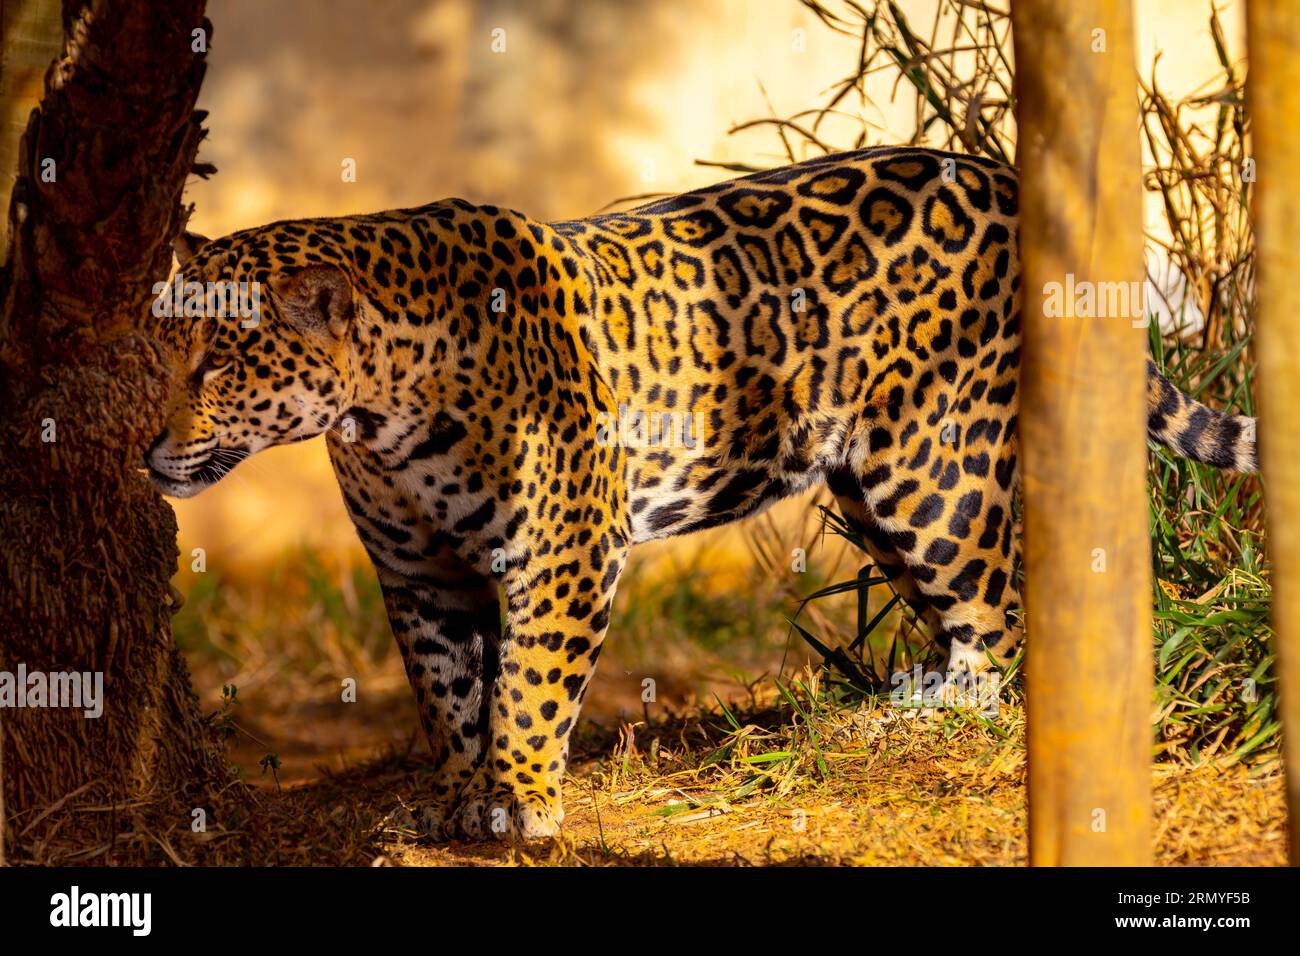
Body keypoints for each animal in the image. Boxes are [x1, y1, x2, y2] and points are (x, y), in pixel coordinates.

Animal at [145, 145, 1257, 841]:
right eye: (163, 347)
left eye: (216, 363)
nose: (148, 452)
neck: (378, 415)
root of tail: (1003, 172)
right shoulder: (421, 573)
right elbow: (448, 693)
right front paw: (460, 796)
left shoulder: (562, 551)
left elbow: (528, 684)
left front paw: (519, 802)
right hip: (865, 481)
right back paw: (901, 703)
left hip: (931, 465)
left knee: (1001, 615)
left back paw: (919, 724)